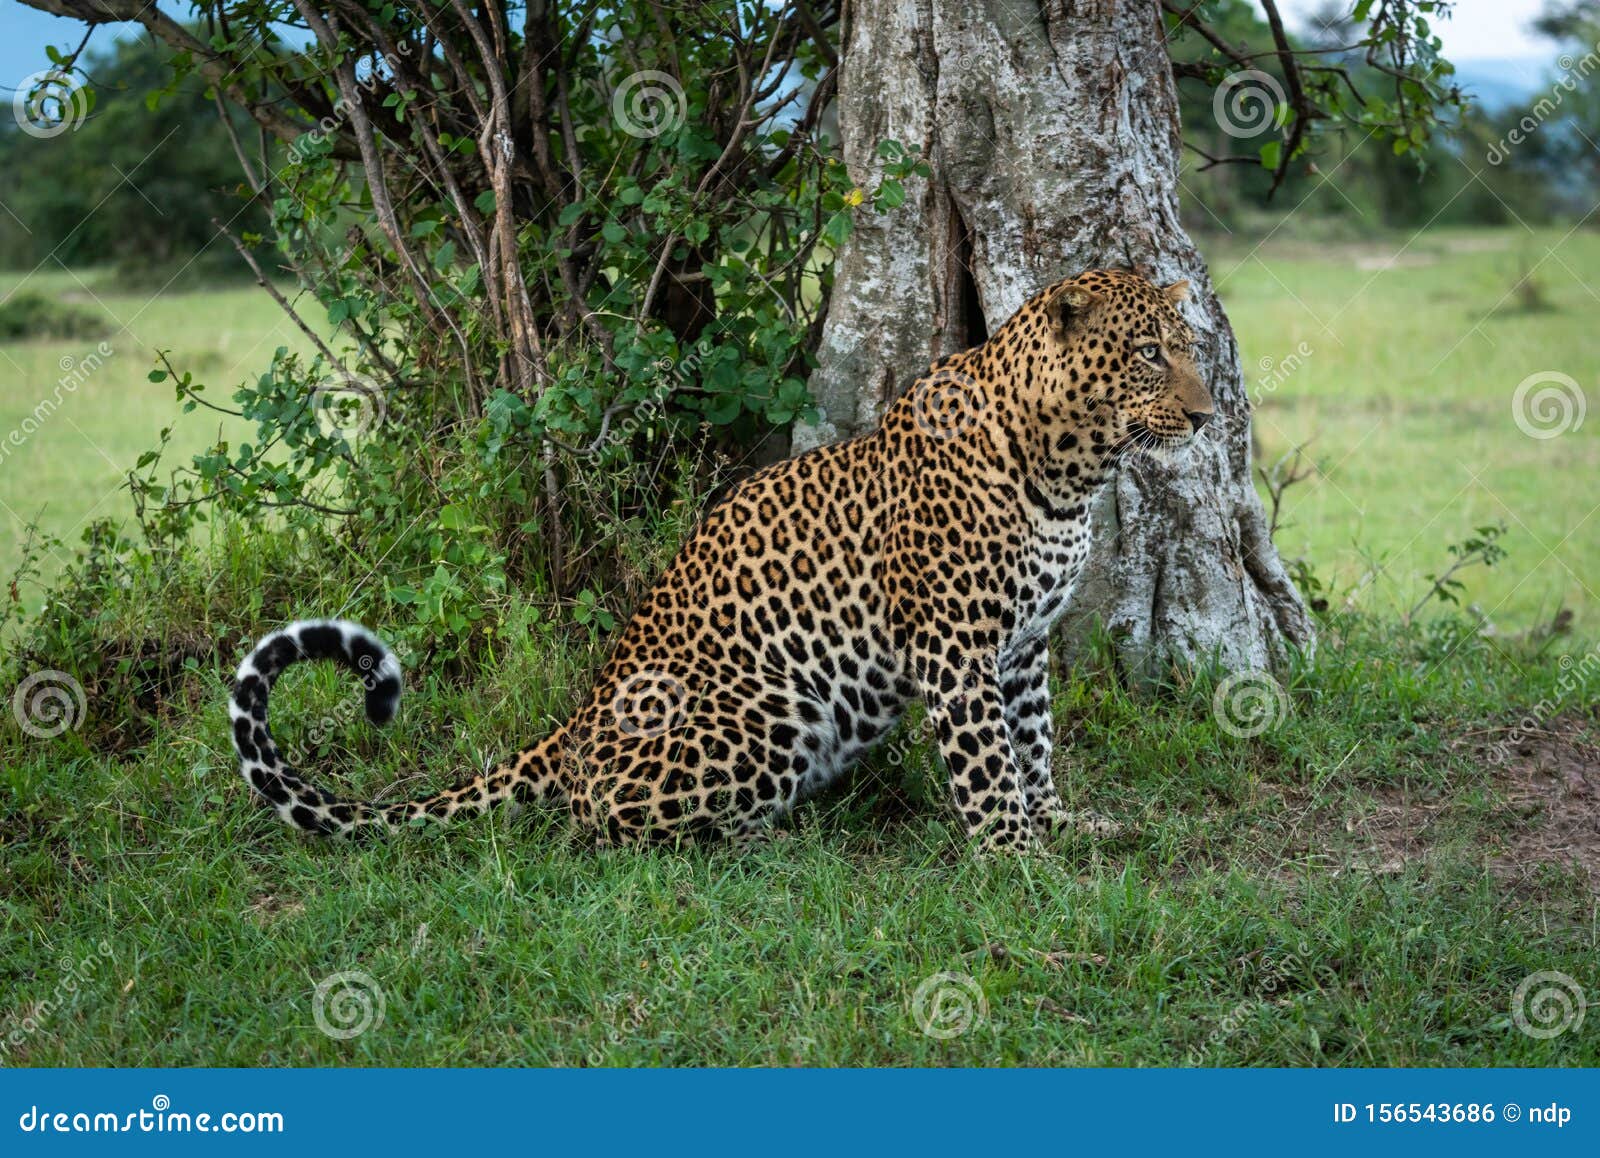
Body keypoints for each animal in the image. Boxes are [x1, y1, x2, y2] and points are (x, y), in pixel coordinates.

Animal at [229, 268, 1213, 852]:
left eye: (1191, 351)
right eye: (1148, 353)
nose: (1208, 417)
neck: (1070, 471)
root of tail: (571, 726)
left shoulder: (1022, 647)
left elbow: (1034, 742)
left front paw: (1060, 822)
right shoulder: (954, 647)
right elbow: (987, 762)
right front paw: (1016, 857)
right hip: (774, 710)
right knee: (606, 824)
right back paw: (760, 840)